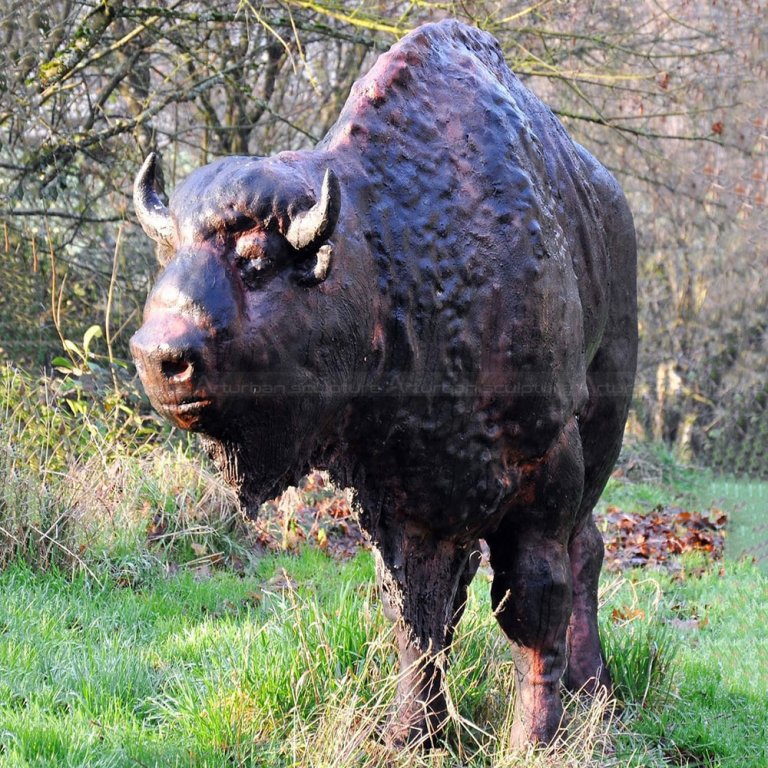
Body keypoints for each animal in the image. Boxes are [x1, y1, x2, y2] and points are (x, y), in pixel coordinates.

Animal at [130, 19, 637, 747]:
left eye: (256, 260)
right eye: (168, 252)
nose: (158, 354)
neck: (393, 254)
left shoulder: (543, 470)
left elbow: (531, 604)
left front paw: (532, 739)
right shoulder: (401, 499)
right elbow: (419, 616)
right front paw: (410, 734)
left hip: (602, 429)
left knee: (585, 553)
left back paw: (593, 690)